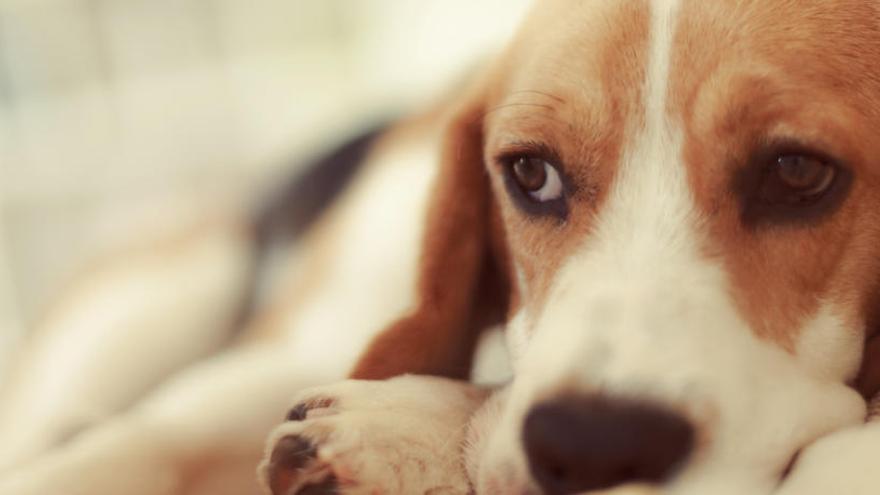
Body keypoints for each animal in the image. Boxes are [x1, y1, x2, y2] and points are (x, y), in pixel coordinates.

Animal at [1, 0, 880, 495]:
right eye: (531, 173)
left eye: (798, 172)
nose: (592, 444)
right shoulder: (274, 356)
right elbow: (138, 442)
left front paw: (400, 429)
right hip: (142, 310)